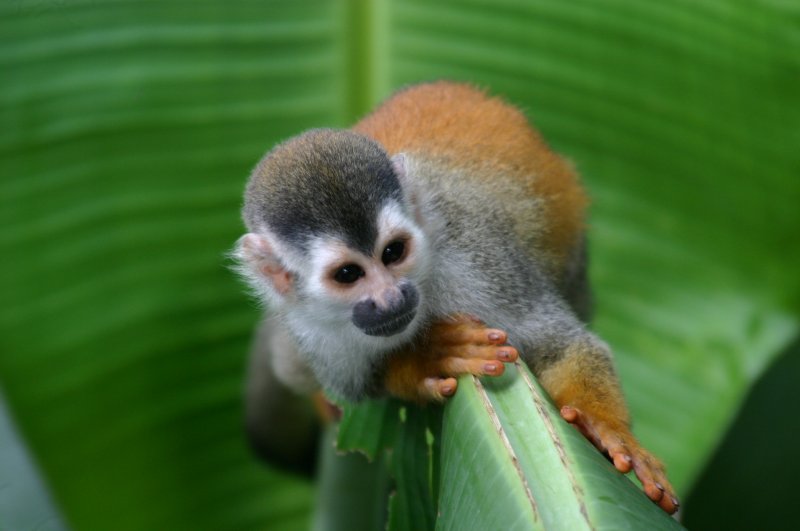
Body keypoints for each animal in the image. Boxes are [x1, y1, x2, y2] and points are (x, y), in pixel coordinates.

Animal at [234, 81, 679, 514]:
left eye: (393, 252)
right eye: (348, 275)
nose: (391, 298)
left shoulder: (477, 261)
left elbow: (562, 343)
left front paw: (609, 430)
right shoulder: (312, 329)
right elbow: (357, 384)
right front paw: (425, 358)